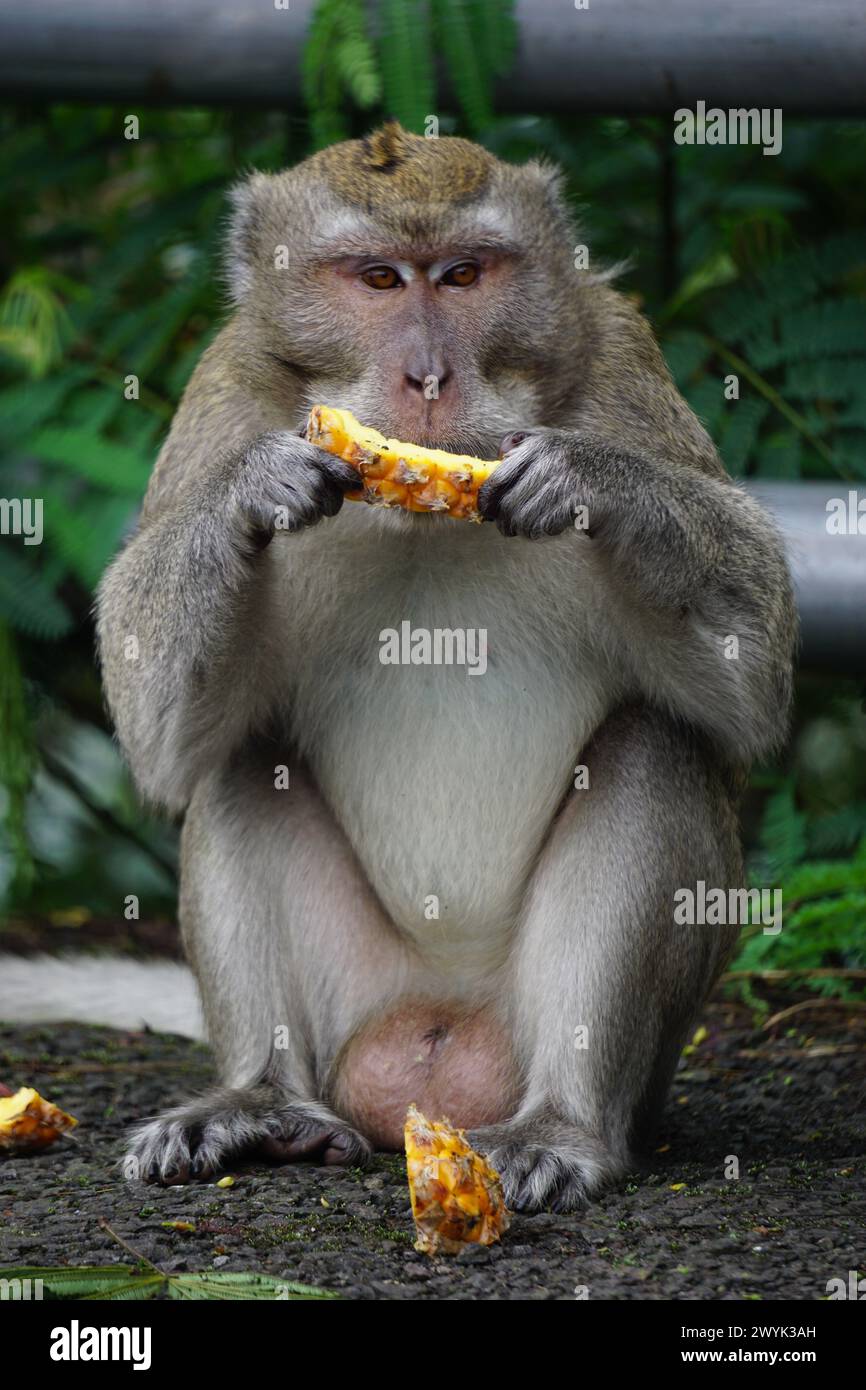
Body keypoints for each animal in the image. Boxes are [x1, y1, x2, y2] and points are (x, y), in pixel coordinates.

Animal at [90, 122, 795, 1210]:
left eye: (464, 275)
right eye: (379, 278)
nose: (428, 377)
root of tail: (439, 1034)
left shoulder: (617, 354)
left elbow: (753, 668)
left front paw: (585, 478)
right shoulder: (227, 385)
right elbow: (152, 714)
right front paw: (257, 487)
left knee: (651, 749)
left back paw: (561, 1125)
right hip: (363, 997)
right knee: (243, 758)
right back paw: (261, 1102)